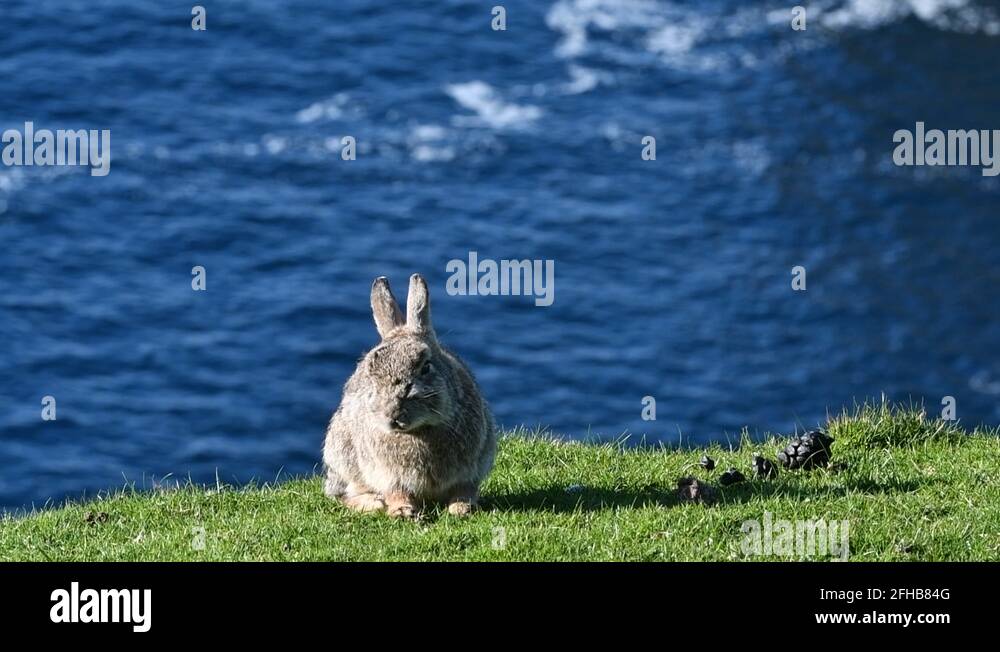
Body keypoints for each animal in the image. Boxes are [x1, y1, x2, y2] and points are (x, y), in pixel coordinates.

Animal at [322, 274, 496, 518]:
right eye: (372, 373)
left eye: (425, 367)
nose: (392, 414)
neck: (420, 430)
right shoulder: (388, 474)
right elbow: (397, 491)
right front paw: (403, 512)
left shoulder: (472, 468)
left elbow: (464, 490)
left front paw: (461, 508)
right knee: (344, 494)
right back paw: (373, 504)